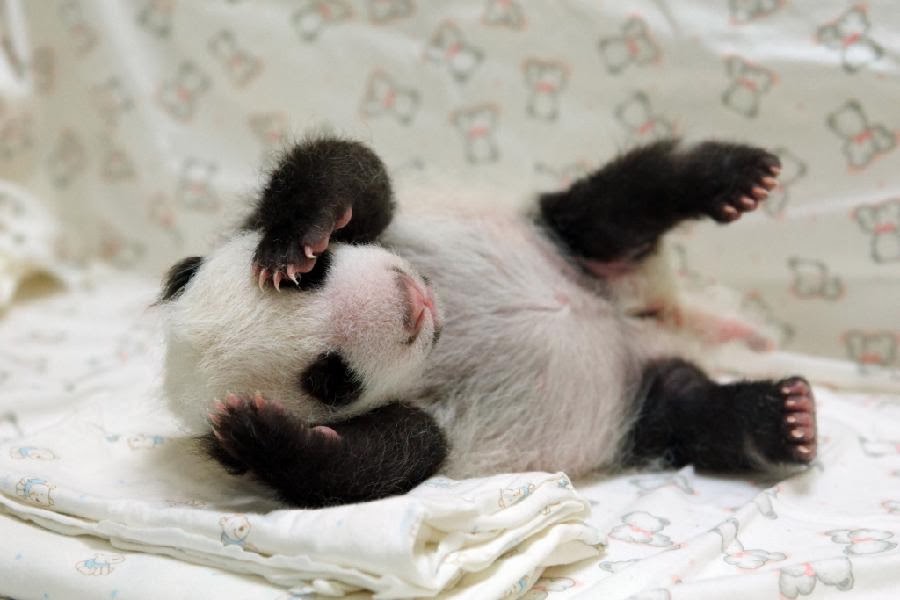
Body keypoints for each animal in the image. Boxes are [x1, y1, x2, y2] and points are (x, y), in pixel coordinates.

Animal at [159, 136, 817, 508]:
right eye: (330, 378)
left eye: (317, 277)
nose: (408, 303)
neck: (443, 331)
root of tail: (652, 321)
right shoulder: (419, 421)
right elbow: (376, 465)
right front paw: (258, 434)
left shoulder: (389, 230)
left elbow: (351, 173)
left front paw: (295, 239)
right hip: (636, 410)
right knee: (689, 412)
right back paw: (785, 418)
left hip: (561, 239)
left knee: (618, 202)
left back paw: (735, 178)